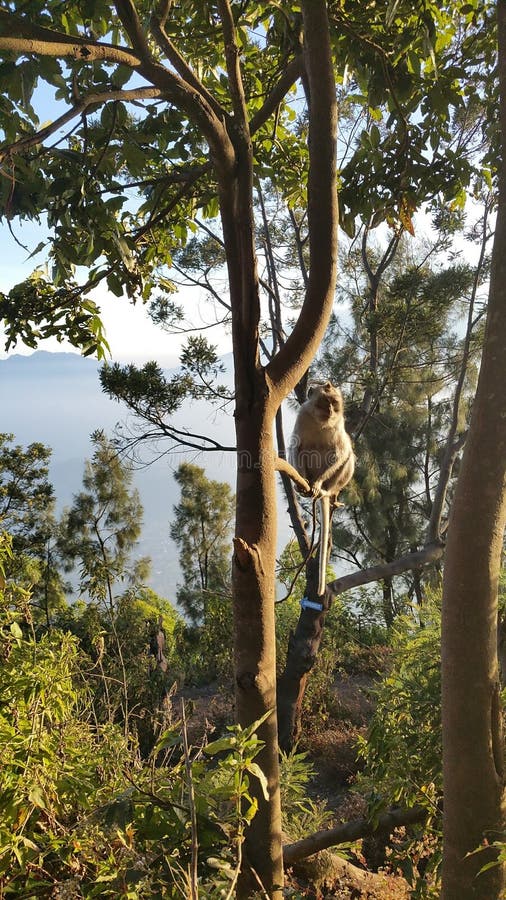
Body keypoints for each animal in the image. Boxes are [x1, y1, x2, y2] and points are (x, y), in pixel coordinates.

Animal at [289, 382, 355, 597]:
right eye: (324, 401)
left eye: (334, 402)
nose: (330, 411)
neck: (320, 422)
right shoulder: (302, 415)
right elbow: (296, 447)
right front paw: (304, 482)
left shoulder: (339, 424)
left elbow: (341, 453)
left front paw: (318, 485)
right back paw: (305, 484)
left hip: (337, 482)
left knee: (348, 456)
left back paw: (324, 490)